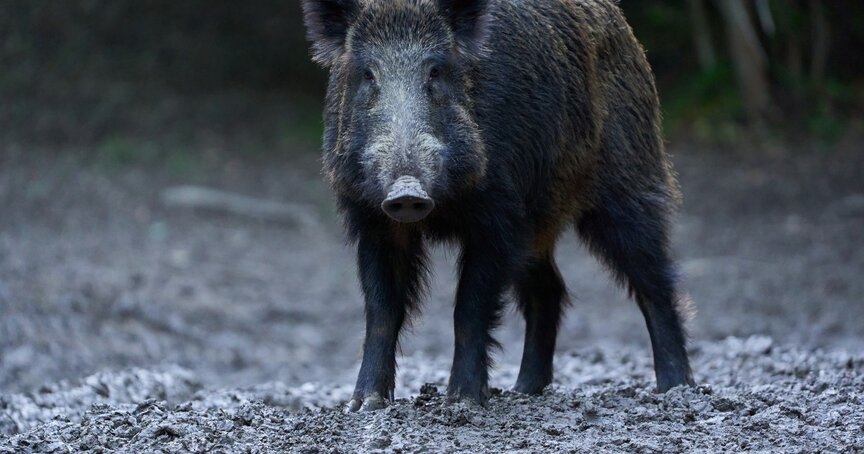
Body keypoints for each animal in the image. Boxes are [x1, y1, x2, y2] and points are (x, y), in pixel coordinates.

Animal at [301, 0, 695, 411]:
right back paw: (525, 390)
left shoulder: (500, 215)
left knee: (654, 280)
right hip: (539, 223)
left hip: (630, 179)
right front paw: (364, 403)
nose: (406, 191)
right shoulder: (372, 217)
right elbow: (382, 310)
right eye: (367, 73)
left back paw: (676, 388)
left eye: (436, 70)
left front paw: (463, 400)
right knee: (549, 289)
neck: (444, 207)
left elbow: (469, 307)